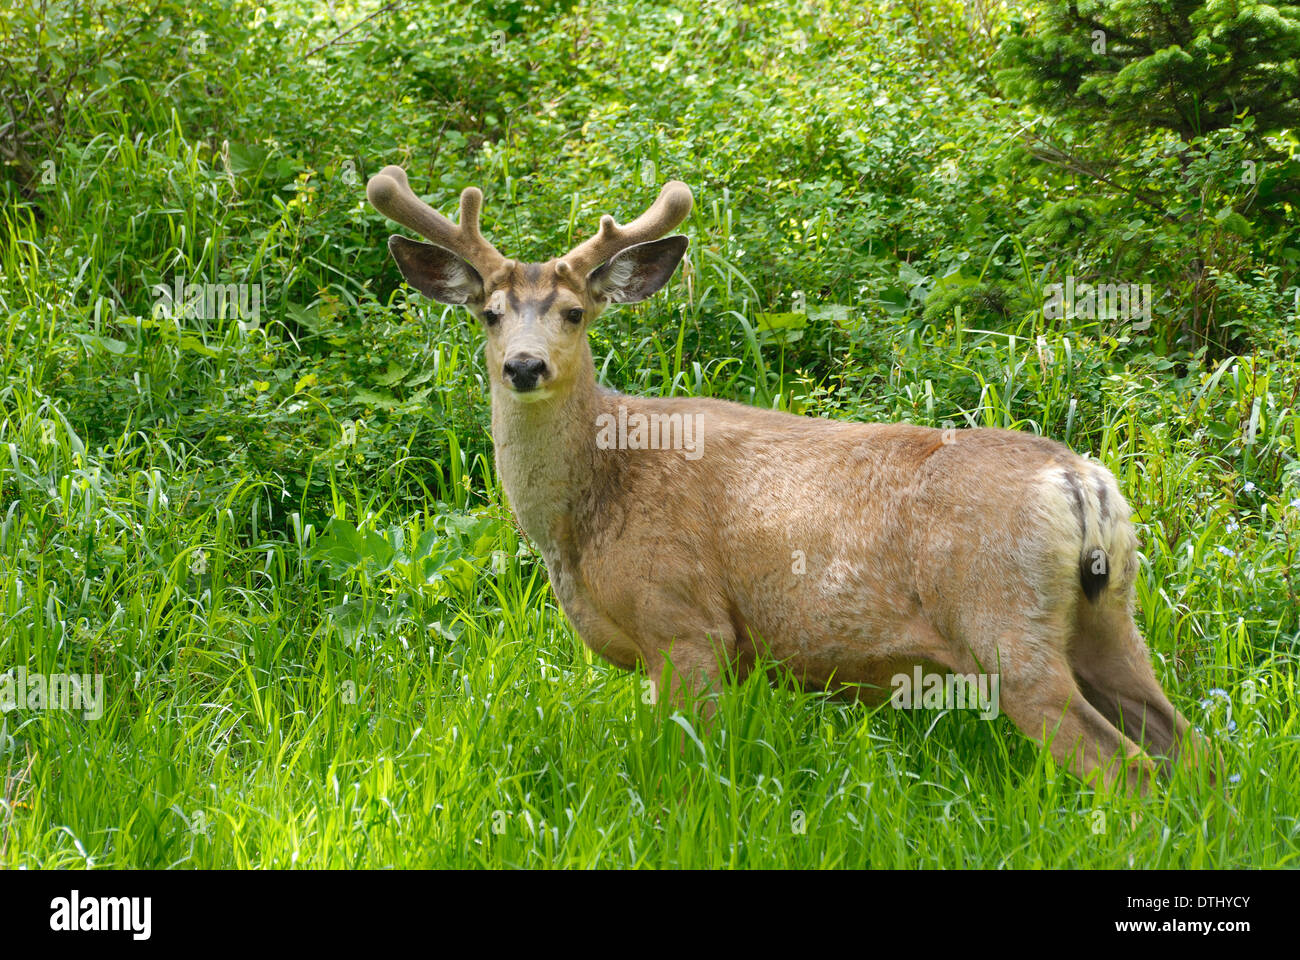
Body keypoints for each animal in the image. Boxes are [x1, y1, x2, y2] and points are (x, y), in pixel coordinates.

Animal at [366, 164, 1215, 793]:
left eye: (575, 312)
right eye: (489, 313)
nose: (523, 366)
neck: (590, 509)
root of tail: (1082, 482)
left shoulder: (685, 622)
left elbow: (689, 764)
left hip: (1002, 621)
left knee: (1122, 765)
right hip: (1110, 619)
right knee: (1190, 748)